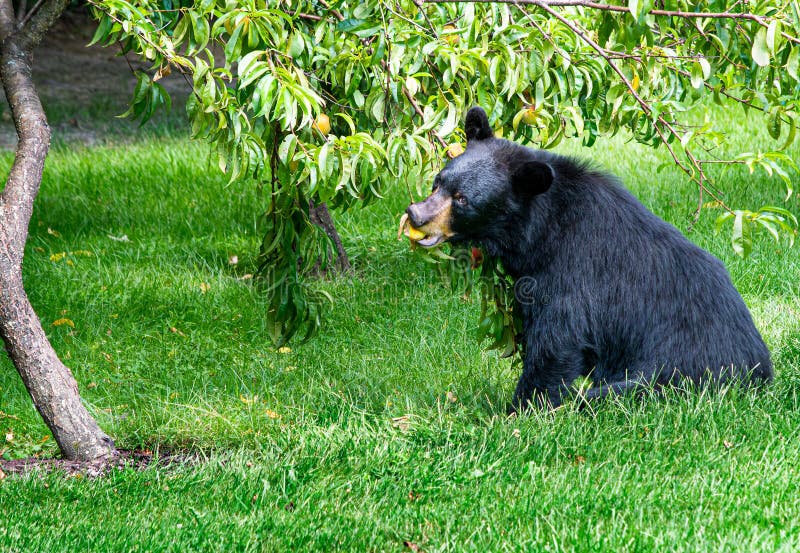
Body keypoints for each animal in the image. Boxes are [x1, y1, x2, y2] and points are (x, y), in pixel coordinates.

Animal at [405, 106, 773, 411]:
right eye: (438, 182)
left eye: (463, 200)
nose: (417, 214)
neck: (538, 230)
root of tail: (760, 373)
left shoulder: (571, 267)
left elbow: (557, 340)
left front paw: (519, 409)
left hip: (676, 374)